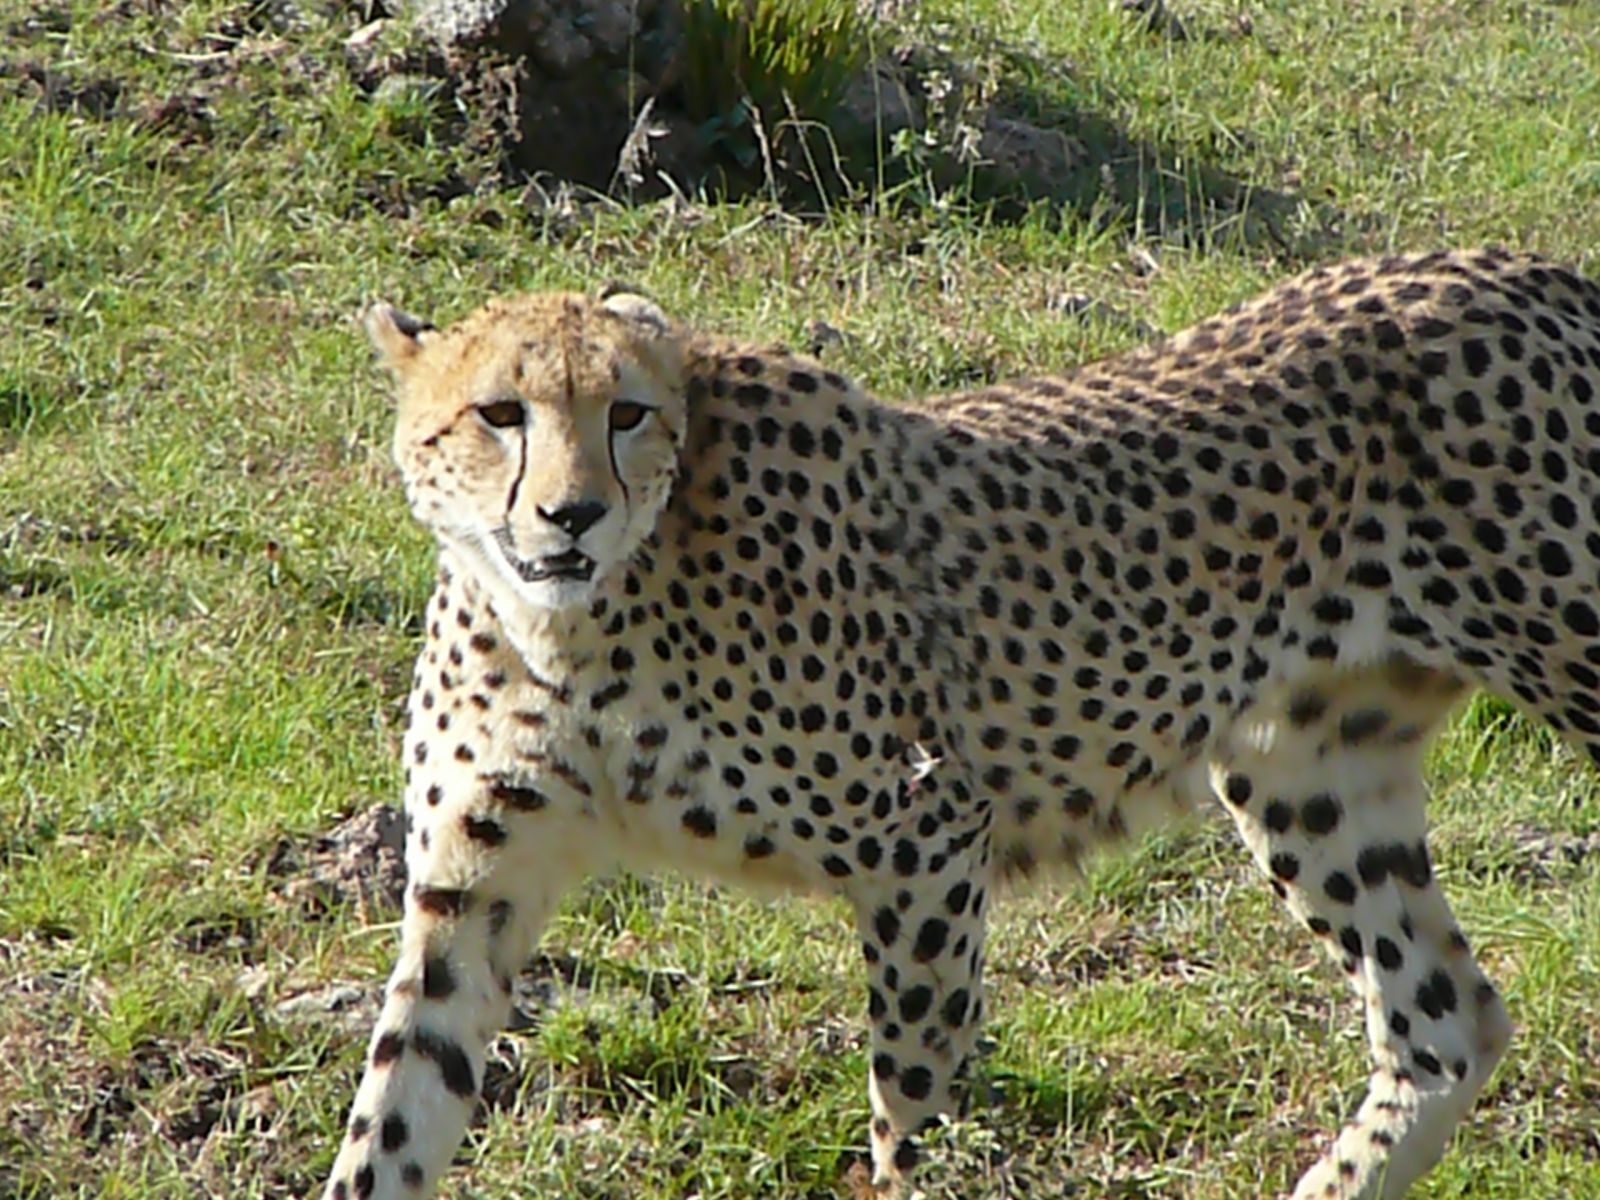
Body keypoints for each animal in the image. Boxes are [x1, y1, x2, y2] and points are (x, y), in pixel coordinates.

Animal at [322, 246, 1600, 1200]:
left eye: (627, 413)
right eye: (498, 413)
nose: (572, 513)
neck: (570, 627)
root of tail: (1521, 266)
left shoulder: (926, 838)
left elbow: (912, 1099)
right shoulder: (470, 888)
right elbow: (394, 1111)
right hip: (1309, 768)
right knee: (1444, 1021)